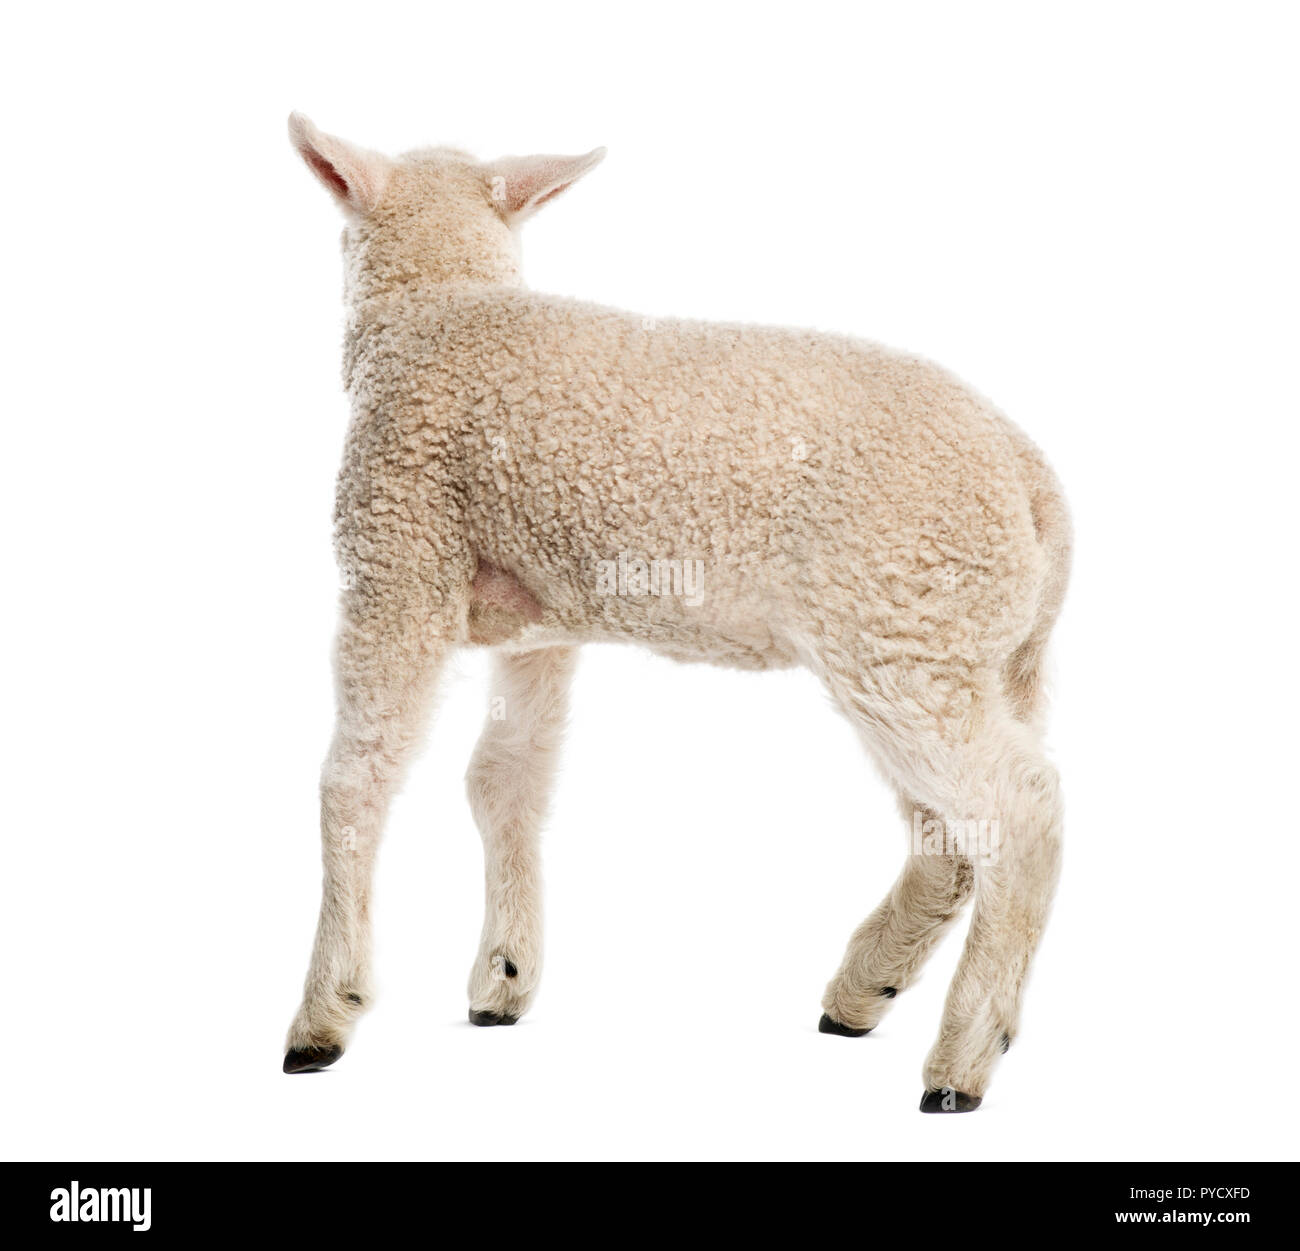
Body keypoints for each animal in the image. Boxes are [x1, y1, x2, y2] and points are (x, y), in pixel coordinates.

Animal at [282, 113, 1071, 1113]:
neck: (442, 303)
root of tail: (1034, 484)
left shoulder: (398, 556)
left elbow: (354, 779)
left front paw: (324, 1012)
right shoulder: (545, 618)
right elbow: (504, 779)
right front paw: (505, 975)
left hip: (905, 626)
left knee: (1024, 807)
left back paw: (965, 1057)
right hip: (967, 645)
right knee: (955, 835)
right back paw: (866, 988)